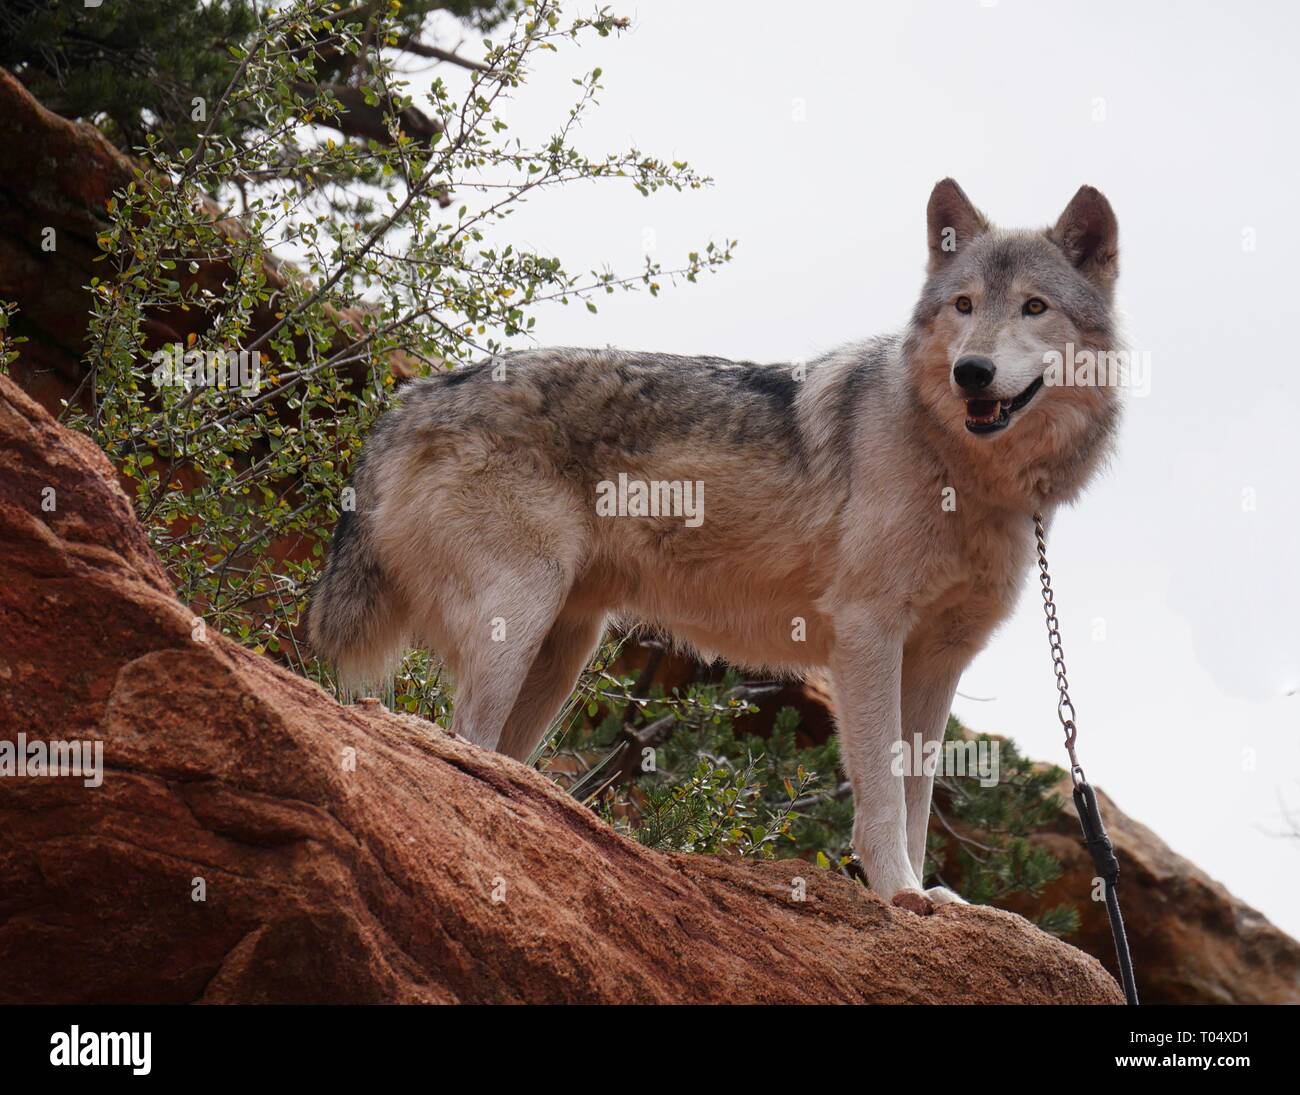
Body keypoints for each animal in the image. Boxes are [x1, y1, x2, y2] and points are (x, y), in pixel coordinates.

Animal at [309, 179, 1121, 910]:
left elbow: (916, 796)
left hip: (561, 654)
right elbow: (885, 797)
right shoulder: (867, 634)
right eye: (964, 306)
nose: (971, 373)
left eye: (1034, 306)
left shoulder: (937, 661)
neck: (965, 474)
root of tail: (408, 400)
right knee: (459, 738)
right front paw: (898, 893)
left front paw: (926, 896)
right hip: (519, 622)